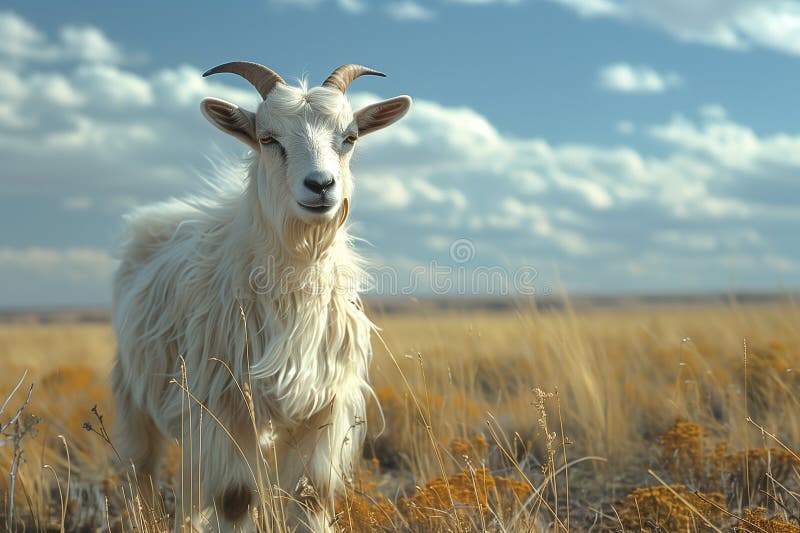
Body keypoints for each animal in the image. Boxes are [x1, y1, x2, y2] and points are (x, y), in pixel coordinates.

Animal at [111, 62, 411, 532]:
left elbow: (310, 495)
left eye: (350, 138)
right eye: (268, 139)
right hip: (135, 396)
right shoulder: (225, 405)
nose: (321, 185)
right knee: (141, 472)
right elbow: (235, 497)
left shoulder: (322, 406)